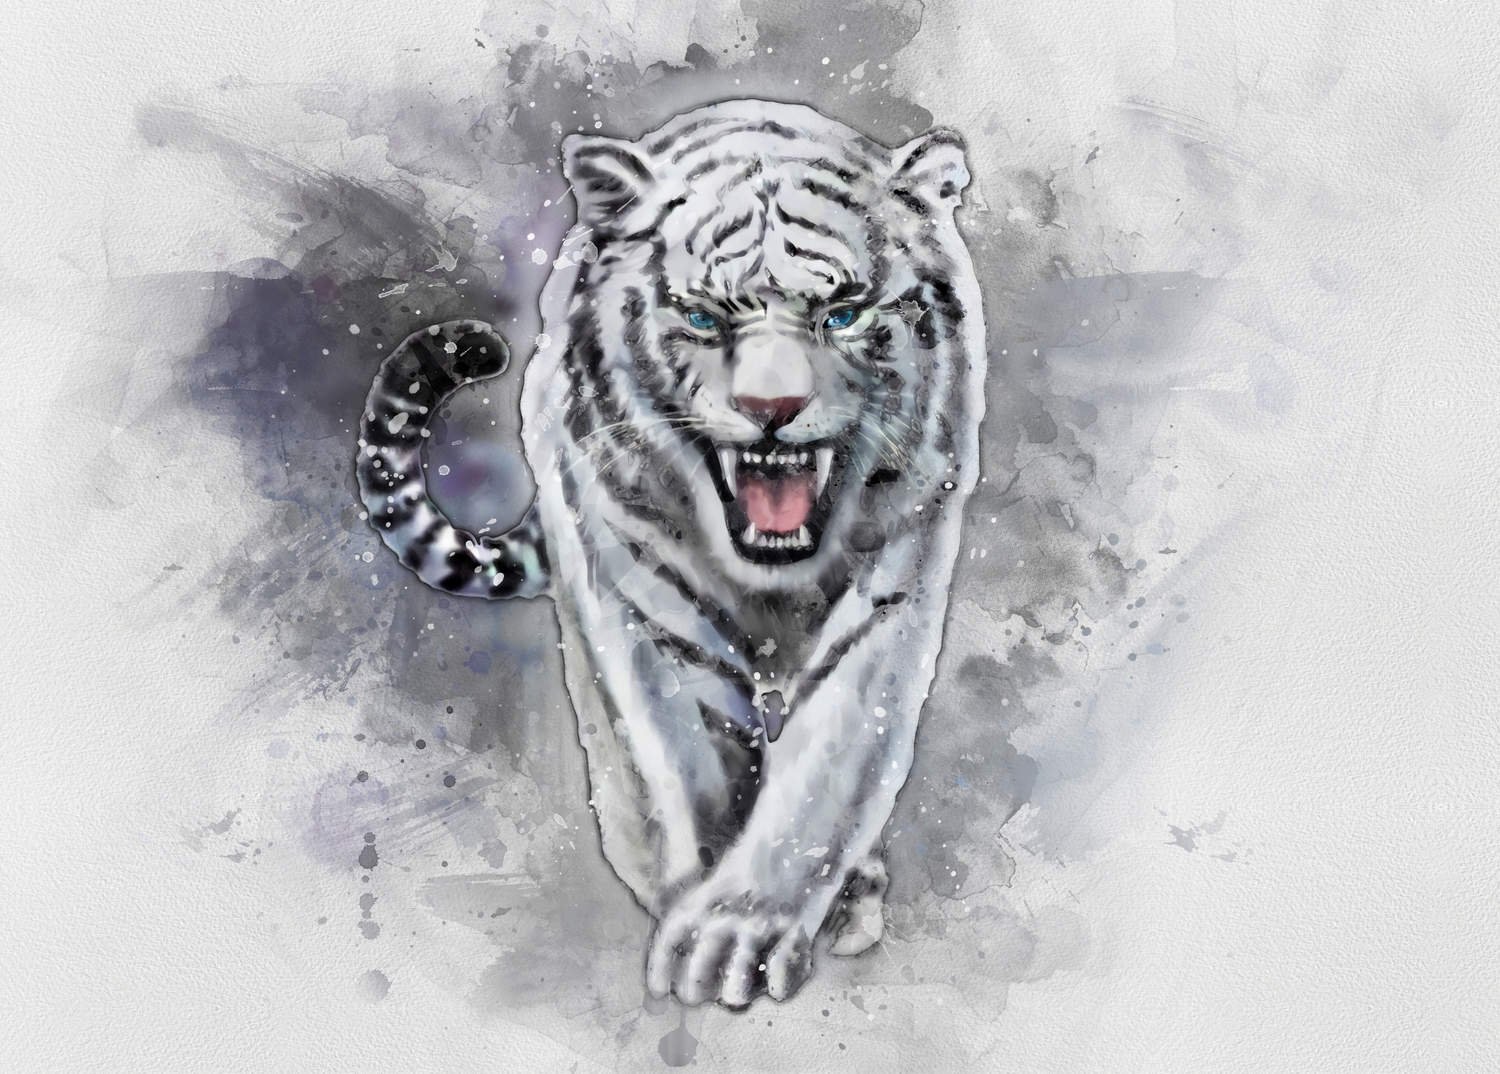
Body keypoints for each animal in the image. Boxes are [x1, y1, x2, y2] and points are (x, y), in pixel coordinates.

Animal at [355, 98, 986, 1009]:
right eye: (703, 318)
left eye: (841, 315)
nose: (770, 408)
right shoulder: (639, 594)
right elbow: (686, 759)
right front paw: (697, 919)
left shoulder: (895, 585)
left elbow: (831, 763)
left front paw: (742, 927)